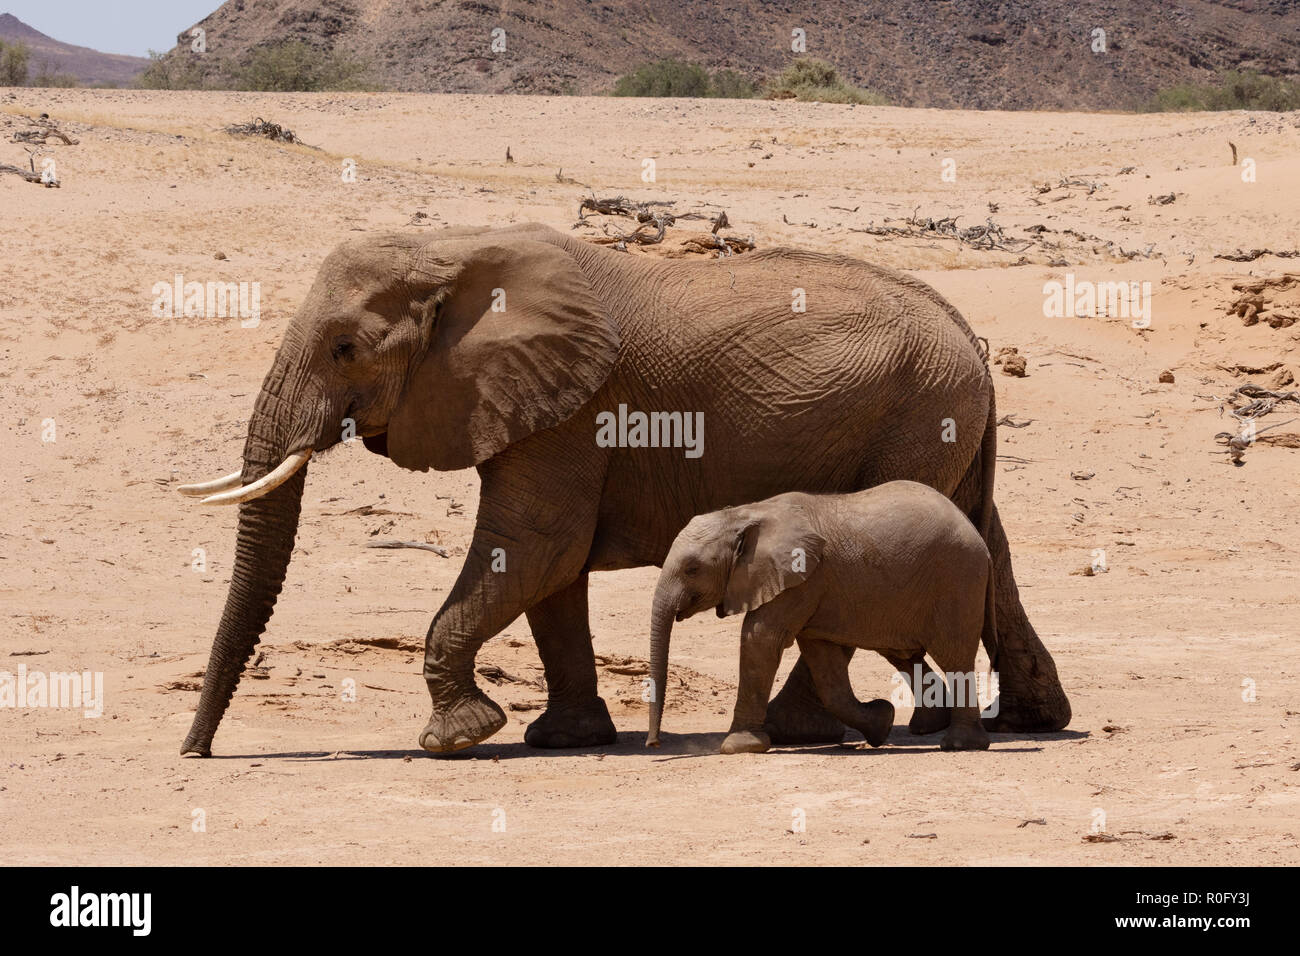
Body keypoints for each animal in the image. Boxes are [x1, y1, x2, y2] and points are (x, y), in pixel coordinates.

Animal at [645, 481, 996, 755]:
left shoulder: (801, 578)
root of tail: (976, 534)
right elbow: (823, 661)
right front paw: (880, 723)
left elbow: (760, 638)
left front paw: (738, 747)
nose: (654, 744)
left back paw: (960, 745)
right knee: (904, 654)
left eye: (692, 569)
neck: (744, 515)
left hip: (957, 580)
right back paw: (926, 728)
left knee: (953, 654)